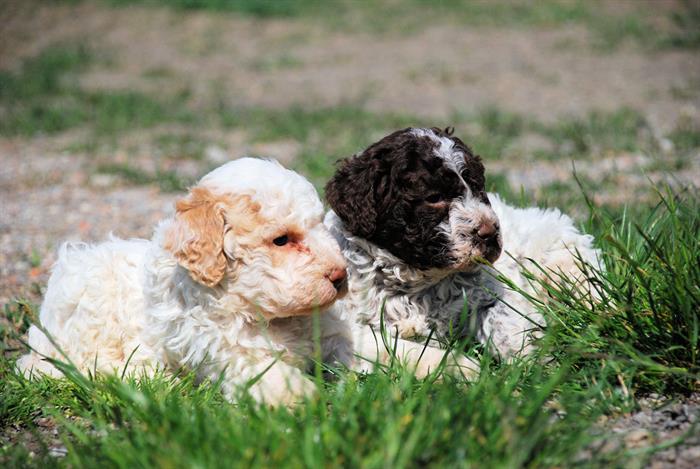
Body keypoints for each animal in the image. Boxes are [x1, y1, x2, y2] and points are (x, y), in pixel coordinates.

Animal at [19, 158, 356, 406]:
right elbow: (266, 374)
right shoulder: (227, 353)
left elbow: (351, 346)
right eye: (281, 240)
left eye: (319, 225)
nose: (340, 277)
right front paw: (299, 396)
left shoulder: (328, 329)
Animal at [324, 128, 600, 366]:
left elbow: (503, 315)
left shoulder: (490, 290)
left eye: (478, 188)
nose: (490, 233)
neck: (413, 282)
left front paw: (529, 357)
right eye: (434, 198)